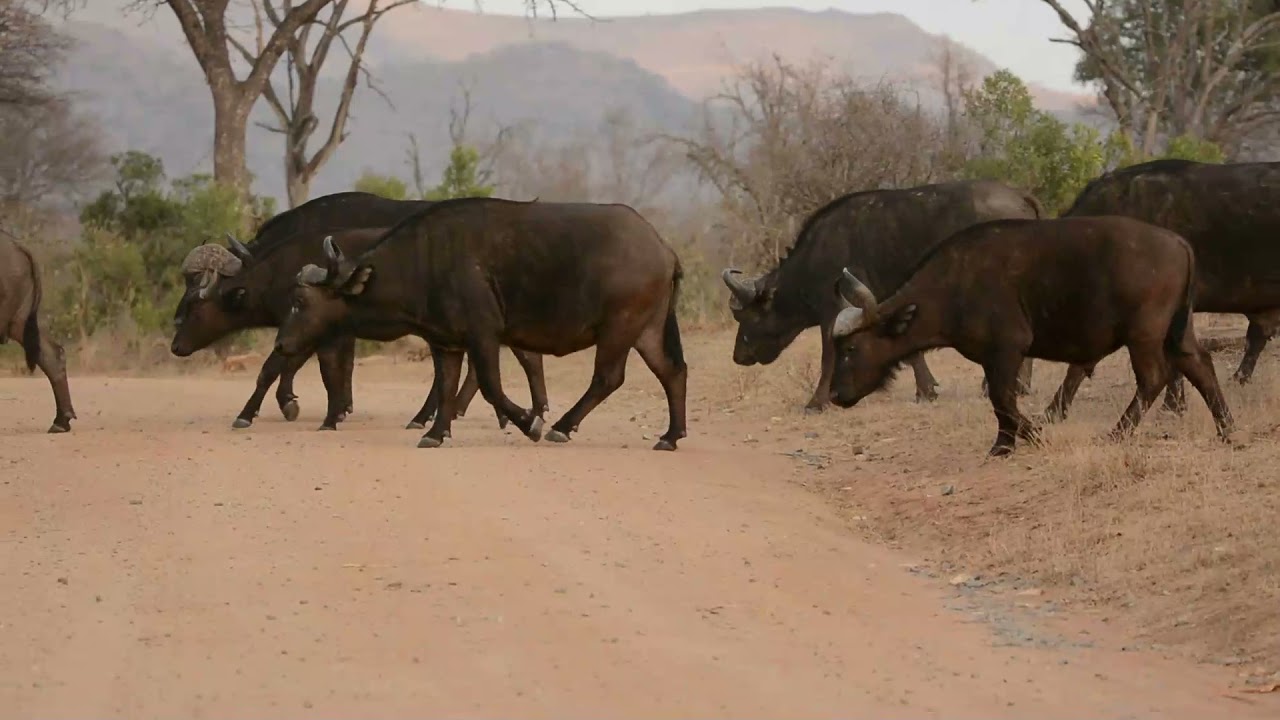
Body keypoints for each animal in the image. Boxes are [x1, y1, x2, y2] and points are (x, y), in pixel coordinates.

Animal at [170, 191, 549, 430]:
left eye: (195, 302)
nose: (175, 342)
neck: (279, 269)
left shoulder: (314, 329)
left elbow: (277, 367)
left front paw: (255, 412)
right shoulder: (321, 330)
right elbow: (328, 366)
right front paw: (331, 408)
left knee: (517, 358)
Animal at [274, 197, 687, 451]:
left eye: (299, 302)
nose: (281, 345)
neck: (422, 263)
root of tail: (662, 247)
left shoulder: (484, 335)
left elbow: (490, 386)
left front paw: (529, 422)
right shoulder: (446, 343)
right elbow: (445, 387)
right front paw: (436, 433)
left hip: (619, 327)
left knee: (608, 378)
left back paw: (561, 426)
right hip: (646, 331)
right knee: (673, 371)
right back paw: (671, 436)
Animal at [722, 179, 1041, 412]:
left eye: (747, 316)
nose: (738, 356)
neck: (813, 258)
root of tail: (1021, 196)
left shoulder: (834, 309)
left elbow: (828, 357)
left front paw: (816, 403)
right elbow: (910, 351)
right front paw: (926, 390)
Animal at [827, 215, 1234, 456]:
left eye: (850, 348)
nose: (833, 395)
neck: (954, 284)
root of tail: (1179, 243)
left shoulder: (1007, 350)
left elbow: (1003, 399)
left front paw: (1032, 436)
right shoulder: (993, 358)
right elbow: (1001, 403)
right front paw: (1004, 444)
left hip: (1144, 334)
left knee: (1153, 378)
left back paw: (1117, 434)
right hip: (1177, 332)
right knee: (1201, 364)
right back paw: (1227, 429)